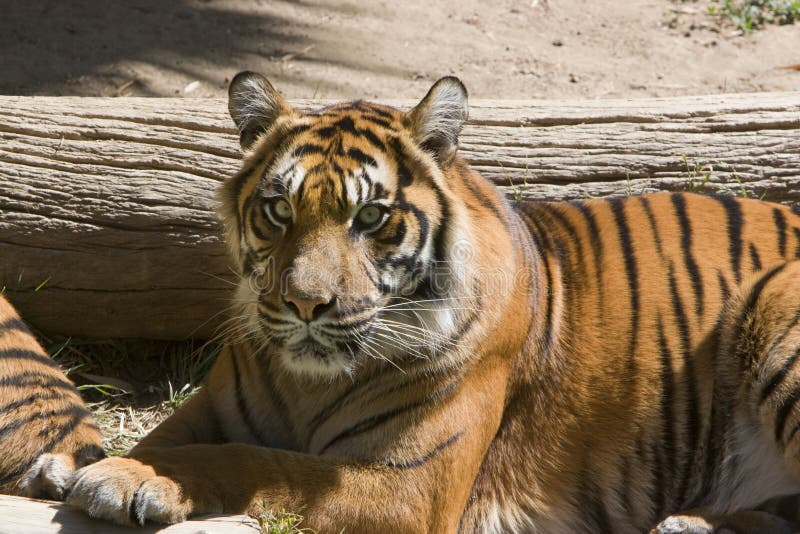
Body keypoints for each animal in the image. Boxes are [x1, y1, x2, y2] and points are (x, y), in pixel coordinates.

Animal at [50, 71, 800, 533]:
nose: (305, 304)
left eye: (370, 217)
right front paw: (82, 462)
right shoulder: (209, 408)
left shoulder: (408, 487)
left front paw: (130, 478)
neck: (306, 385)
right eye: (278, 209)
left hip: (774, 311)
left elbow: (253, 461)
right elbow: (168, 435)